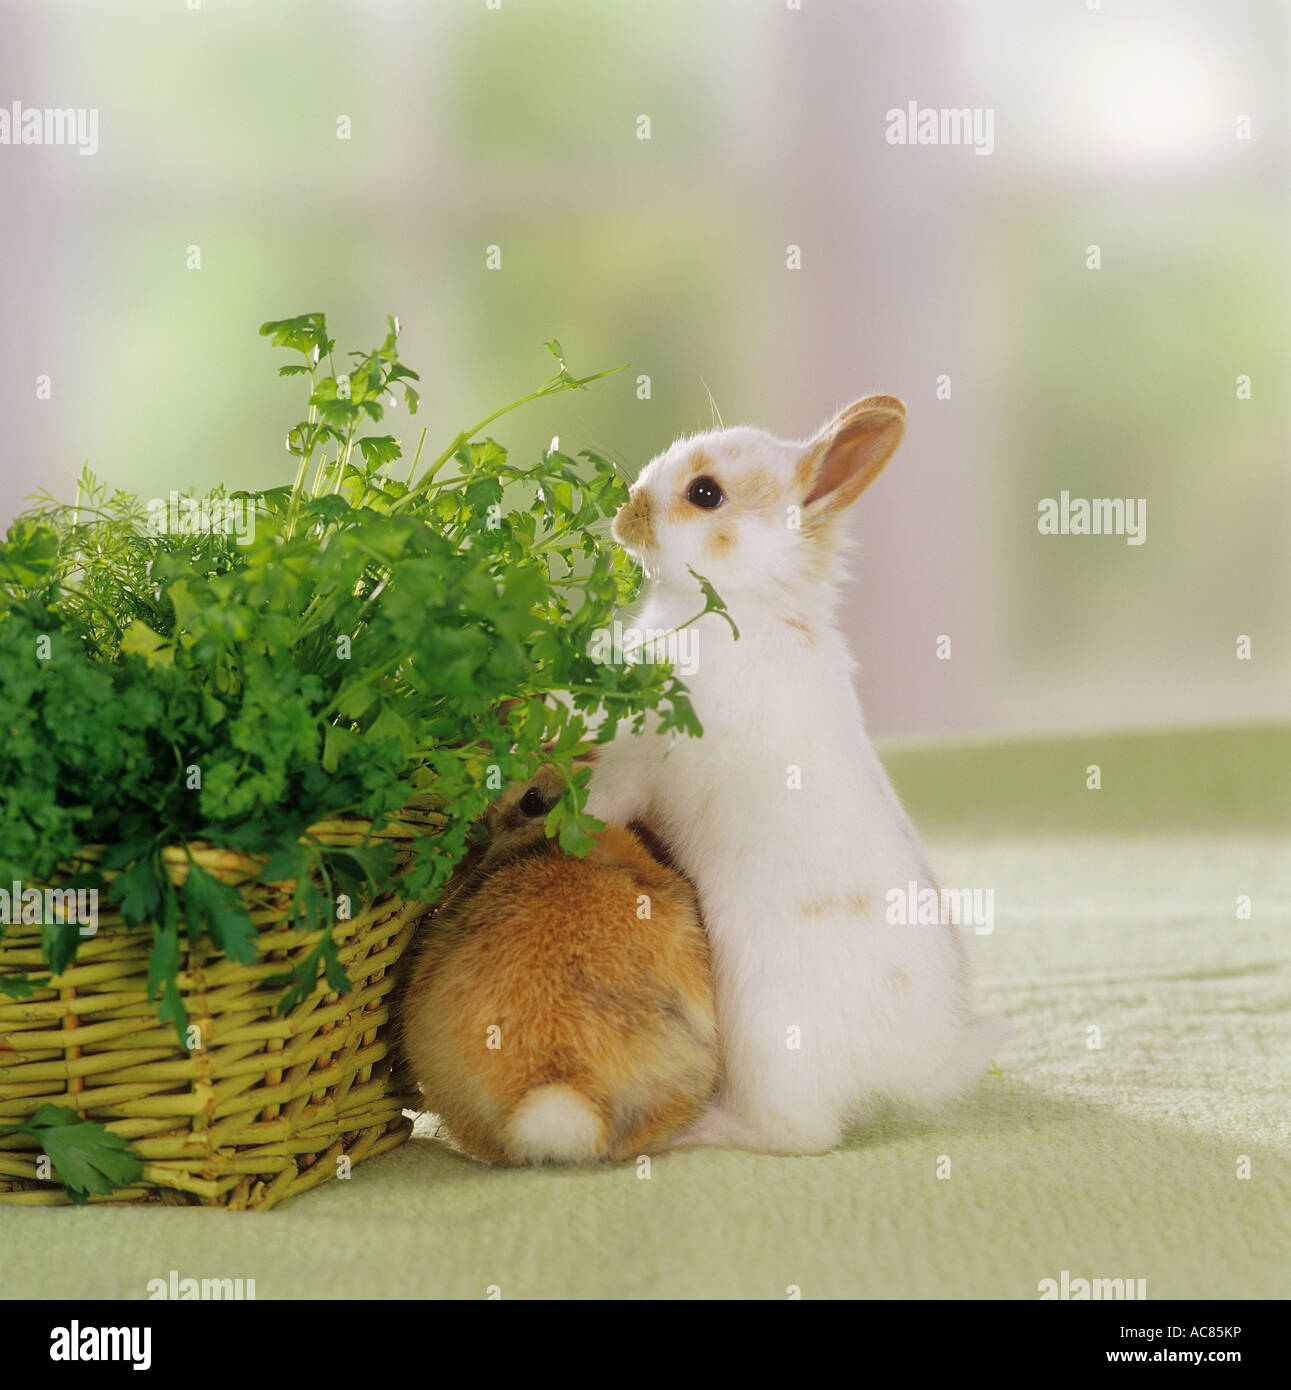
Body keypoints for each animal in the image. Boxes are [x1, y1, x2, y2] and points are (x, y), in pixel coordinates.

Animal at [586, 395, 1004, 1155]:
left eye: (705, 493)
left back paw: (700, 1130)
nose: (626, 513)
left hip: (765, 1039)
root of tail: (921, 1060)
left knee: (797, 1134)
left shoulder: (639, 759)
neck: (745, 603)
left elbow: (607, 796)